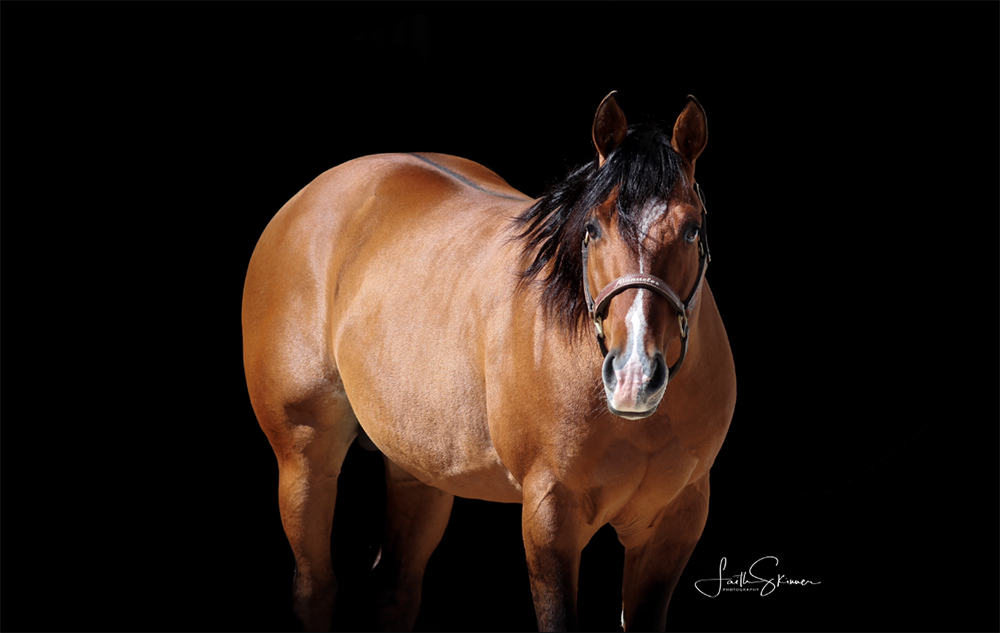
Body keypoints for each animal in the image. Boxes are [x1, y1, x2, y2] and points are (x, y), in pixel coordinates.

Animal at [243, 92, 736, 631]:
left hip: (419, 465)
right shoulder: (549, 517)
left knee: (394, 591)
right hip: (304, 457)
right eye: (591, 229)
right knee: (316, 588)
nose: (633, 376)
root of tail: (308, 198)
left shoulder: (673, 524)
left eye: (691, 230)